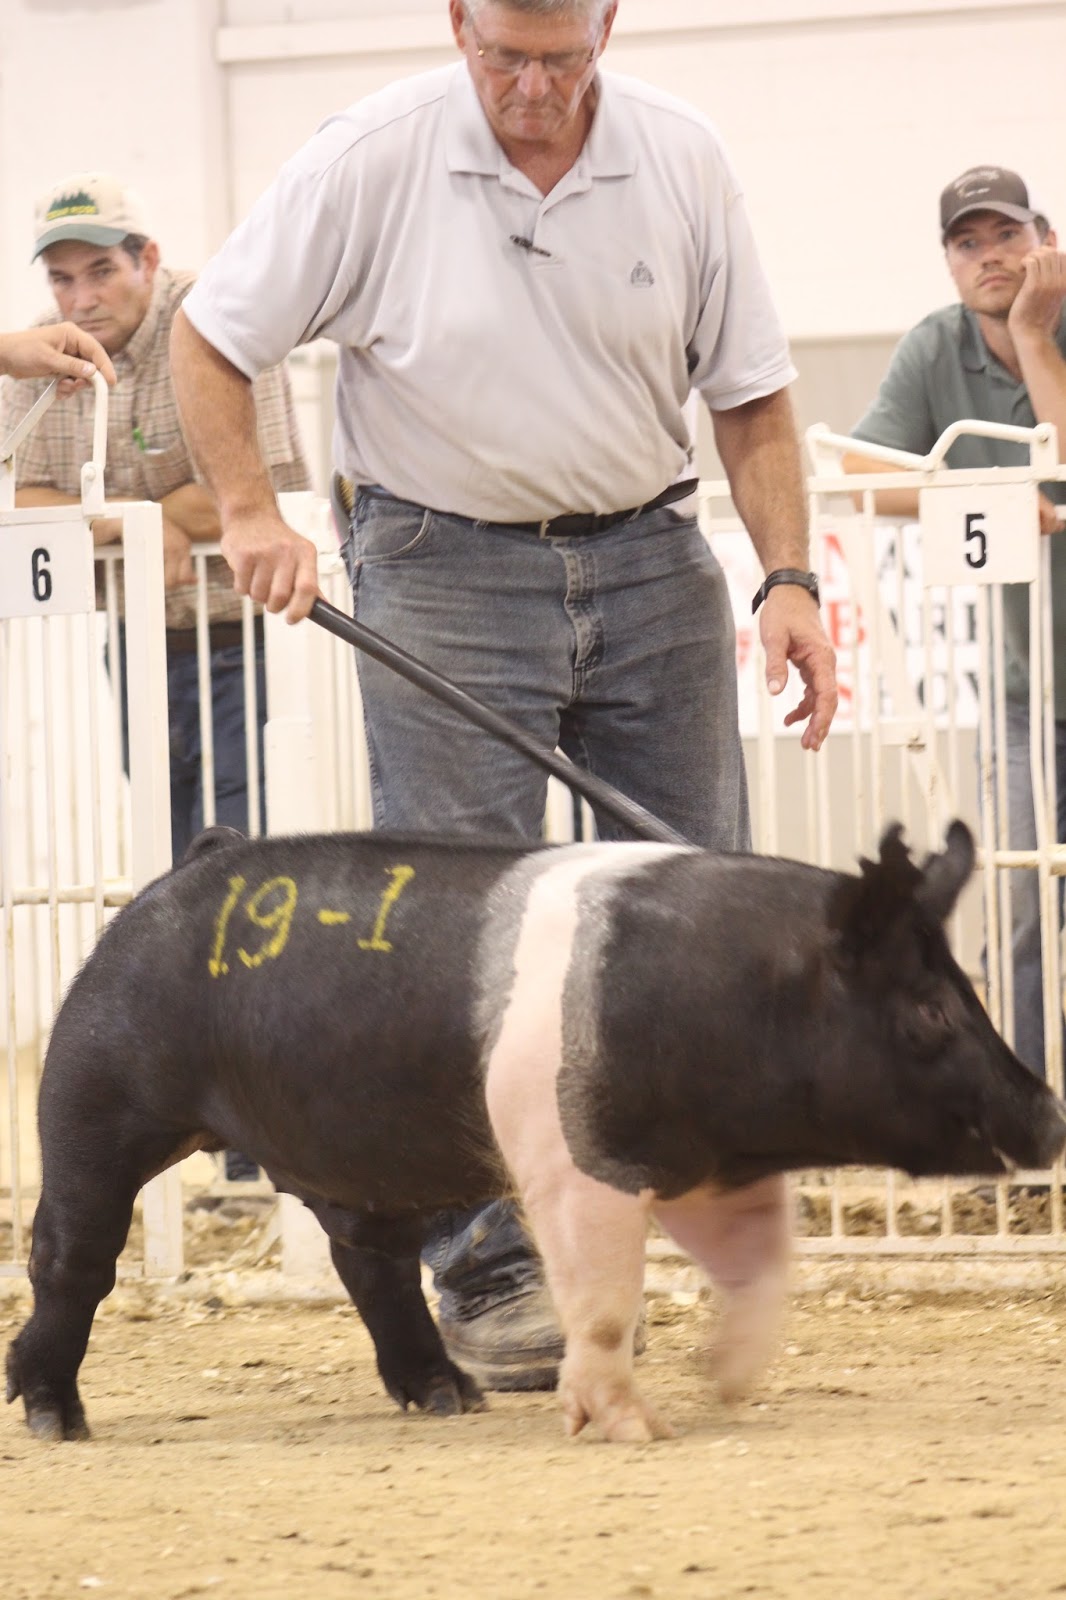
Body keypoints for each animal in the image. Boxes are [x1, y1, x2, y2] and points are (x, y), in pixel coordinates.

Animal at [7, 820, 1066, 1445]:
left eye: (968, 990)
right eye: (930, 1012)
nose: (1051, 1115)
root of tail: (184, 864)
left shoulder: (710, 1167)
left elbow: (760, 1264)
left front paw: (727, 1384)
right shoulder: (573, 1157)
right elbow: (597, 1301)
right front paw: (633, 1429)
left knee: (369, 1264)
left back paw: (449, 1399)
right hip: (98, 1088)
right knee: (71, 1251)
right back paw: (55, 1419)